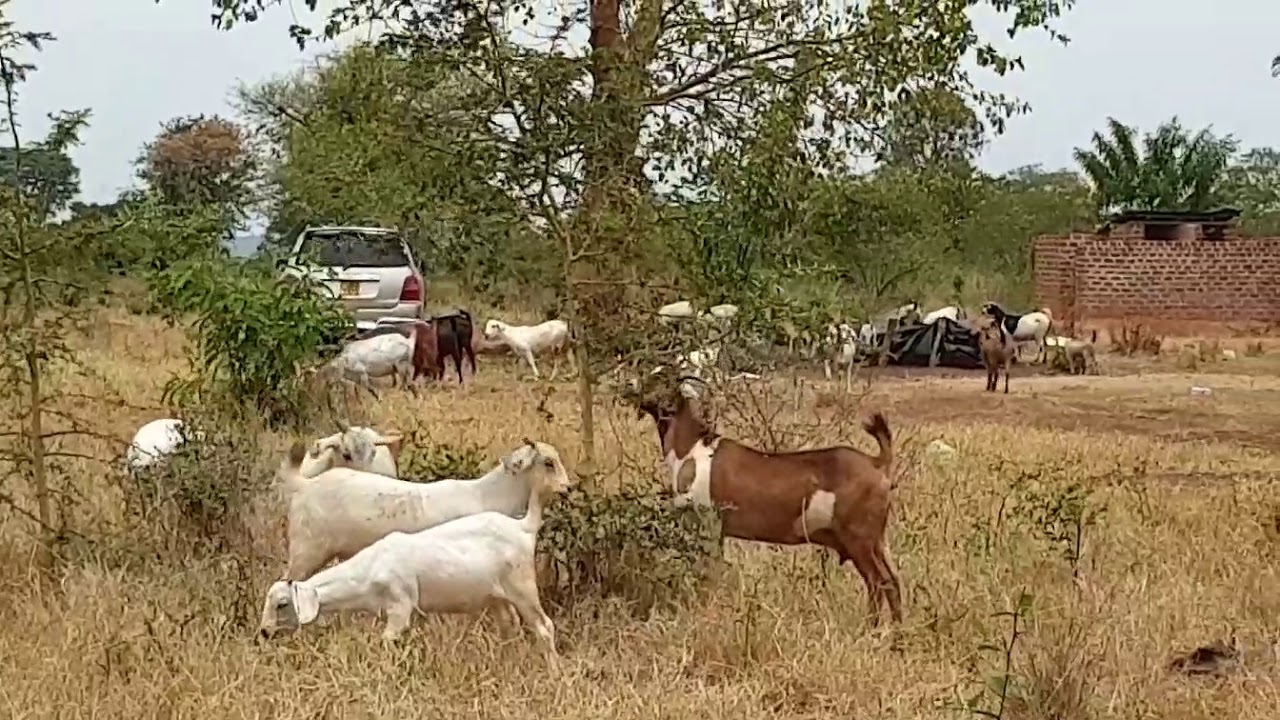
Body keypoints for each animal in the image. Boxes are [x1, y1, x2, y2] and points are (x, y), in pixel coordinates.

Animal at [621, 373, 903, 625]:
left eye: (659, 380)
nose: (629, 384)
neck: (691, 448)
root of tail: (876, 462)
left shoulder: (707, 524)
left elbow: (709, 574)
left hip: (858, 537)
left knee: (879, 582)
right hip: (876, 540)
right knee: (892, 582)